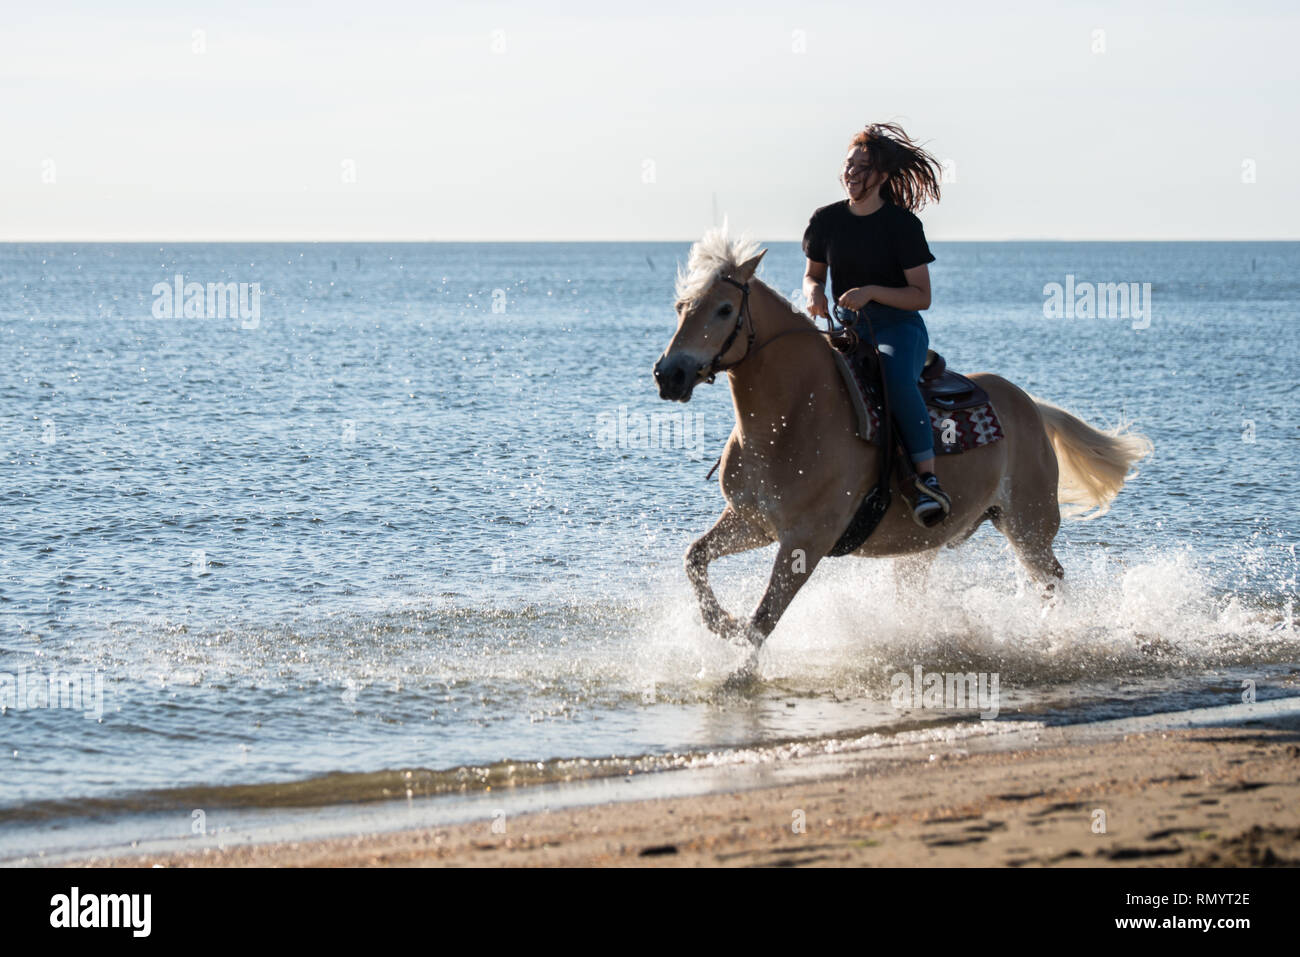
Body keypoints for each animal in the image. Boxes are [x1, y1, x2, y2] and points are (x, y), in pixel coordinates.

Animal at [652, 227, 1153, 654]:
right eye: (680, 306)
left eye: (724, 309)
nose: (668, 374)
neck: (790, 420)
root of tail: (1030, 405)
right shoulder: (751, 521)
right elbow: (695, 558)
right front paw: (721, 622)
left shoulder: (806, 540)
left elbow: (763, 621)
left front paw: (736, 668)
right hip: (926, 546)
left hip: (1029, 528)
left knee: (1051, 584)